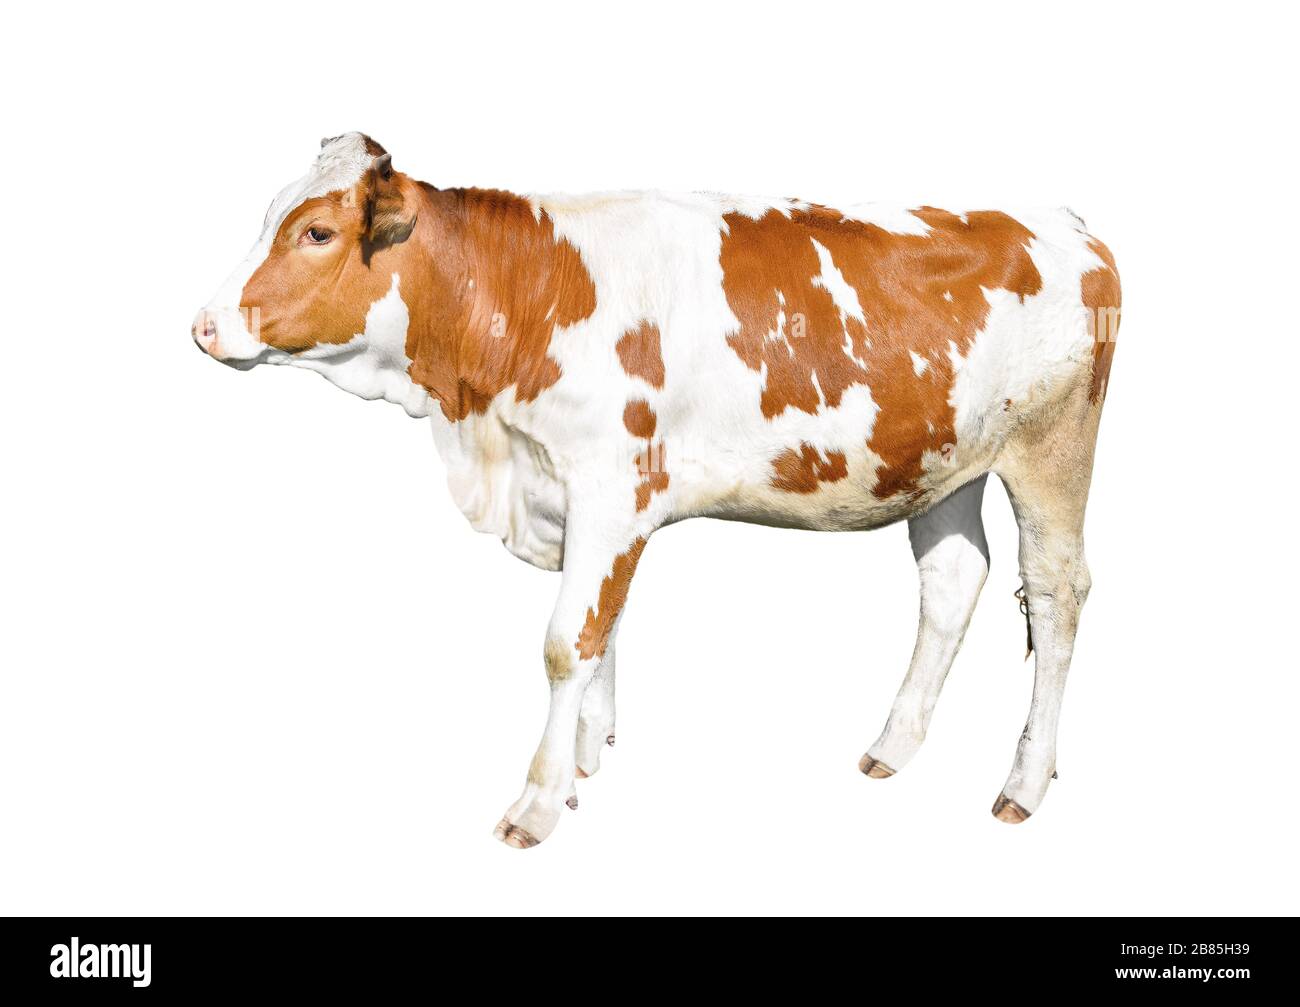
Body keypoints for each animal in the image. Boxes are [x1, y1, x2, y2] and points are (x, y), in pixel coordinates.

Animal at [194, 133, 1120, 847]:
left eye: (316, 230)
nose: (204, 324)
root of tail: (1067, 223)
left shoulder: (610, 490)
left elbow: (567, 641)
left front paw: (538, 799)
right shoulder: (589, 505)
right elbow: (603, 627)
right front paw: (586, 758)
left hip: (1051, 449)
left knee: (1056, 595)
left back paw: (1025, 780)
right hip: (938, 460)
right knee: (953, 582)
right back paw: (893, 742)